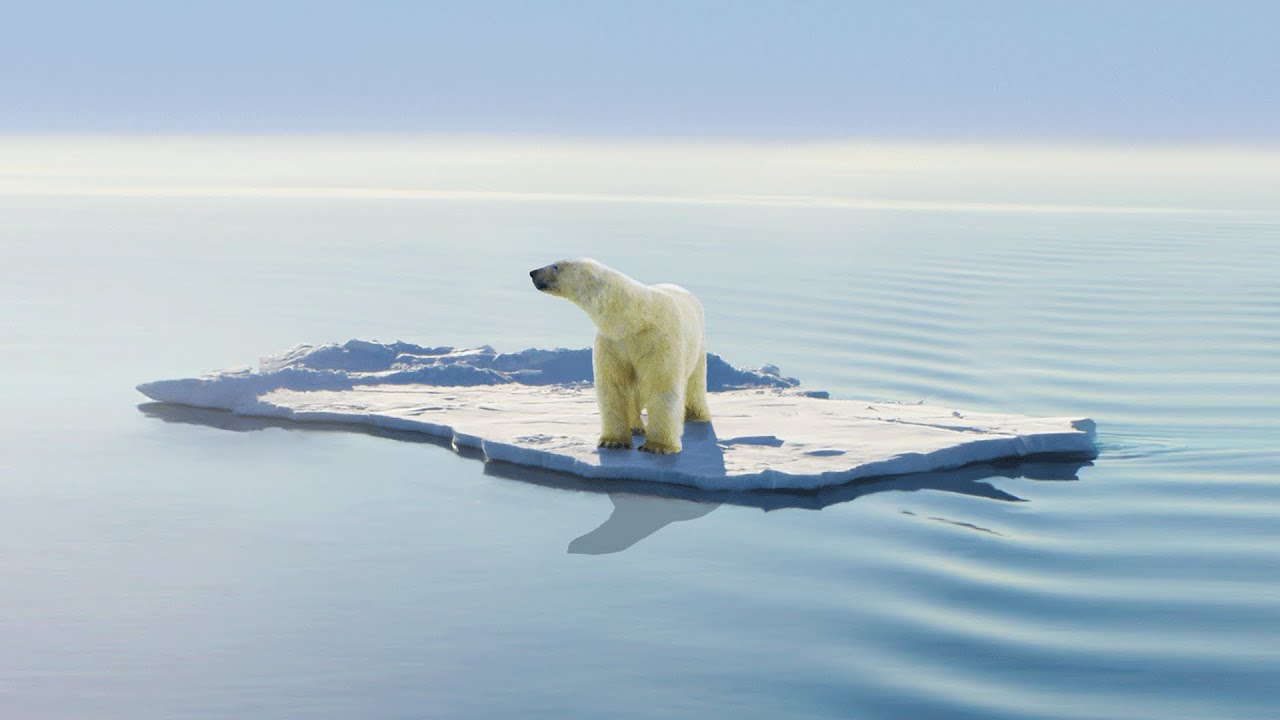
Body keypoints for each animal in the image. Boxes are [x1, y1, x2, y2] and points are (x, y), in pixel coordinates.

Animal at [530, 258, 711, 454]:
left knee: (695, 384)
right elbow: (614, 385)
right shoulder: (613, 343)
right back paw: (636, 426)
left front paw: (657, 446)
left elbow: (662, 385)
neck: (635, 319)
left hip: (698, 345)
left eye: (556, 266)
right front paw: (614, 441)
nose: (533, 272)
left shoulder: (660, 342)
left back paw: (697, 416)